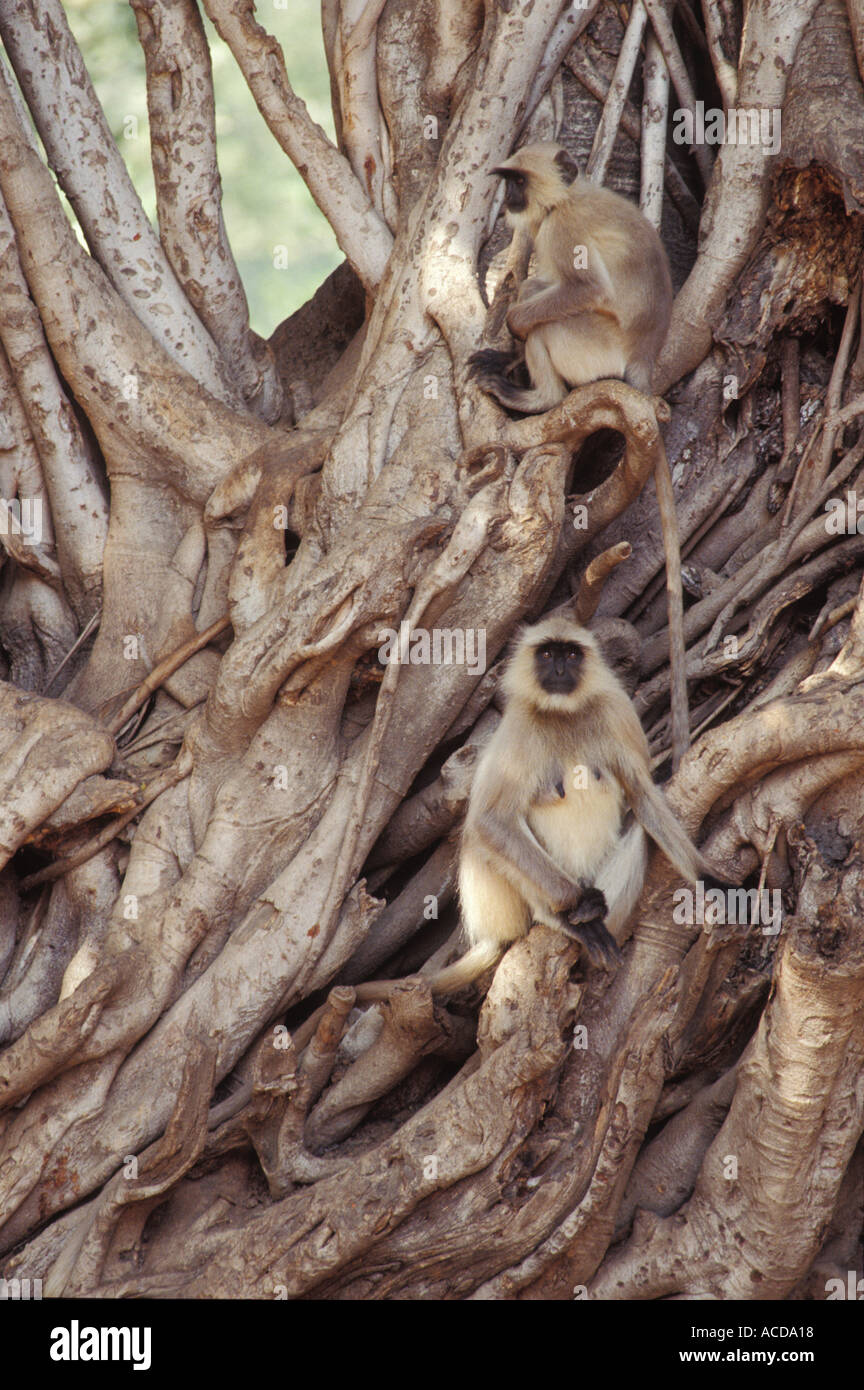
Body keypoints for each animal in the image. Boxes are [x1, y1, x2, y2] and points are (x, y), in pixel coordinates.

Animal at [468, 142, 673, 412]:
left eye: (520, 181)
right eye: (509, 180)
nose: (508, 195)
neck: (566, 197)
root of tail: (643, 358)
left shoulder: (563, 226)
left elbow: (589, 288)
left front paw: (514, 325)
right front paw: (507, 358)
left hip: (598, 353)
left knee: (544, 324)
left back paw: (542, 399)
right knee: (532, 288)